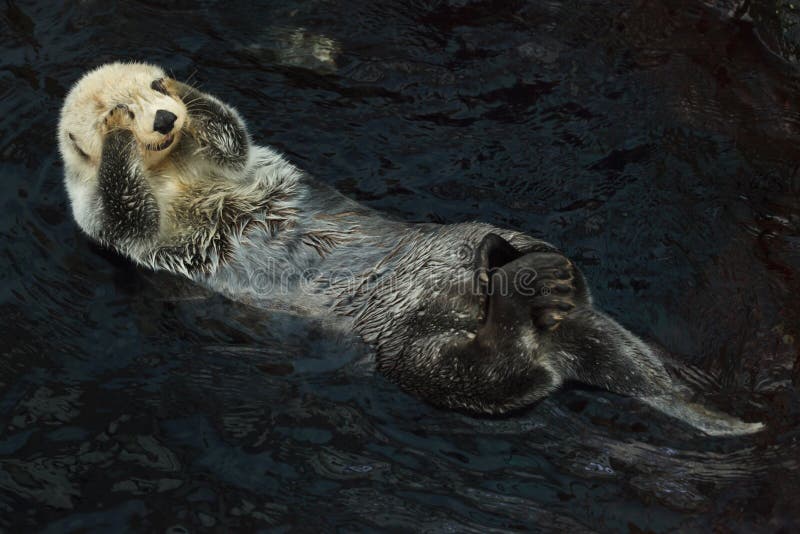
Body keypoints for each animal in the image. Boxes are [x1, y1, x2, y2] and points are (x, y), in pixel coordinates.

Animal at [58, 62, 763, 436]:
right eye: (130, 106)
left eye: (156, 95)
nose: (162, 116)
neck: (176, 169)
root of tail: (551, 339)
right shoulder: (105, 223)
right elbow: (126, 208)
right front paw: (116, 135)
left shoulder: (235, 159)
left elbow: (233, 133)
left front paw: (189, 91)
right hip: (411, 353)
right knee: (497, 374)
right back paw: (529, 285)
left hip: (501, 287)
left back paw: (534, 263)